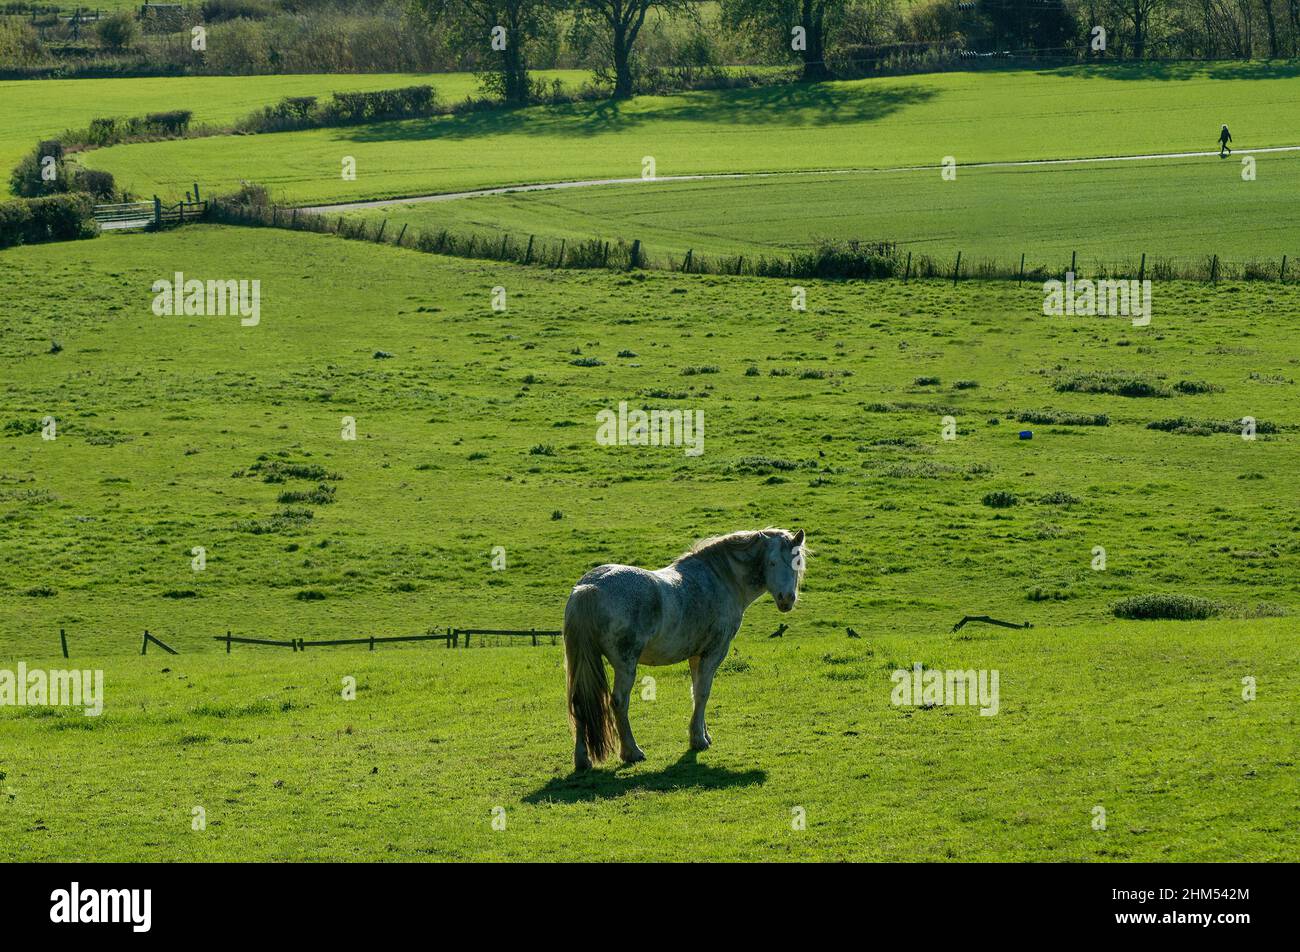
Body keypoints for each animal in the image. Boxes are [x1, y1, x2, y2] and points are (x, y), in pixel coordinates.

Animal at [563, 528, 806, 771]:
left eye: (797, 562)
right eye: (772, 562)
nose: (786, 599)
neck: (720, 578)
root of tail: (590, 587)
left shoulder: (695, 655)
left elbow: (696, 690)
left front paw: (704, 735)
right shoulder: (714, 652)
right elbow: (703, 692)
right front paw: (698, 740)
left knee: (579, 702)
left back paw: (583, 760)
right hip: (626, 665)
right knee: (619, 702)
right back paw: (632, 752)